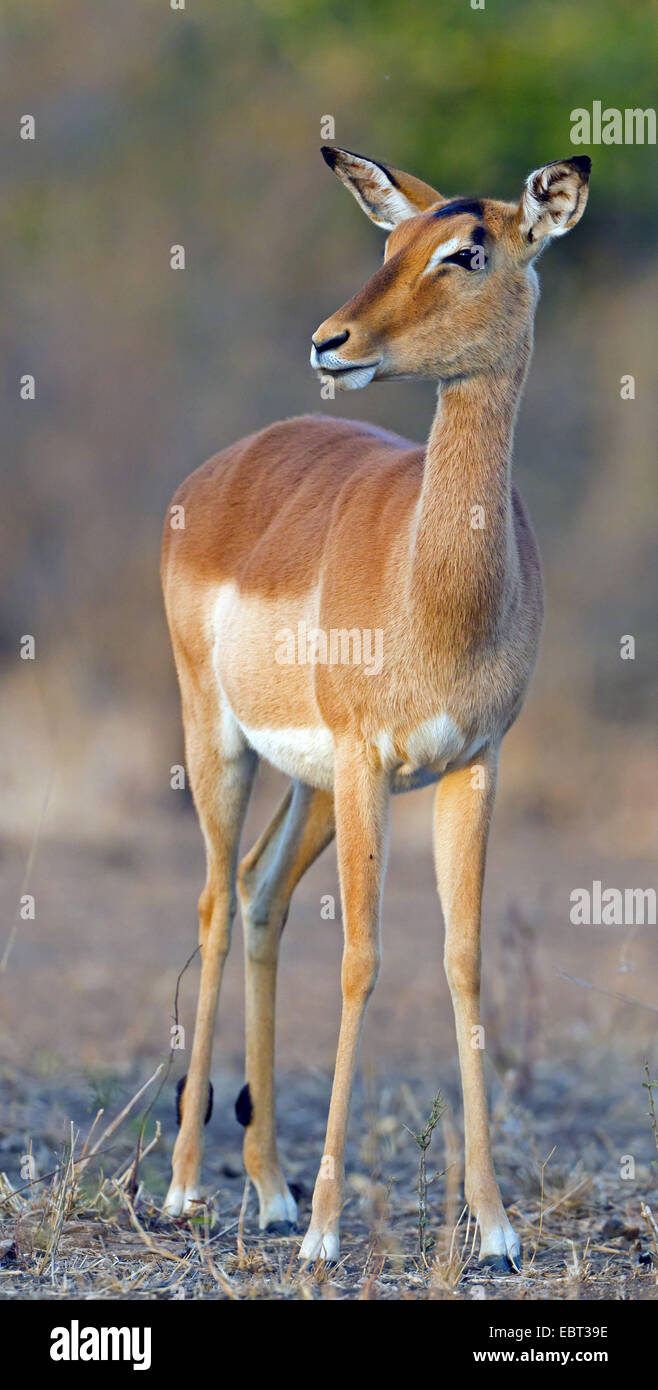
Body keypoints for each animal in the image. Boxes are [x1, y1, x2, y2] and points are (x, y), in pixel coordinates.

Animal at [161, 145, 591, 1268]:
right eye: (390, 242)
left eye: (467, 249)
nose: (330, 340)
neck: (433, 589)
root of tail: (219, 469)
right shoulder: (366, 760)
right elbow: (361, 960)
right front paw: (324, 1232)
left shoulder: (469, 765)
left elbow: (463, 962)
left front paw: (496, 1228)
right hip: (222, 743)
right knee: (215, 901)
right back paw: (189, 1186)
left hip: (310, 786)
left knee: (260, 896)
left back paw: (266, 1189)